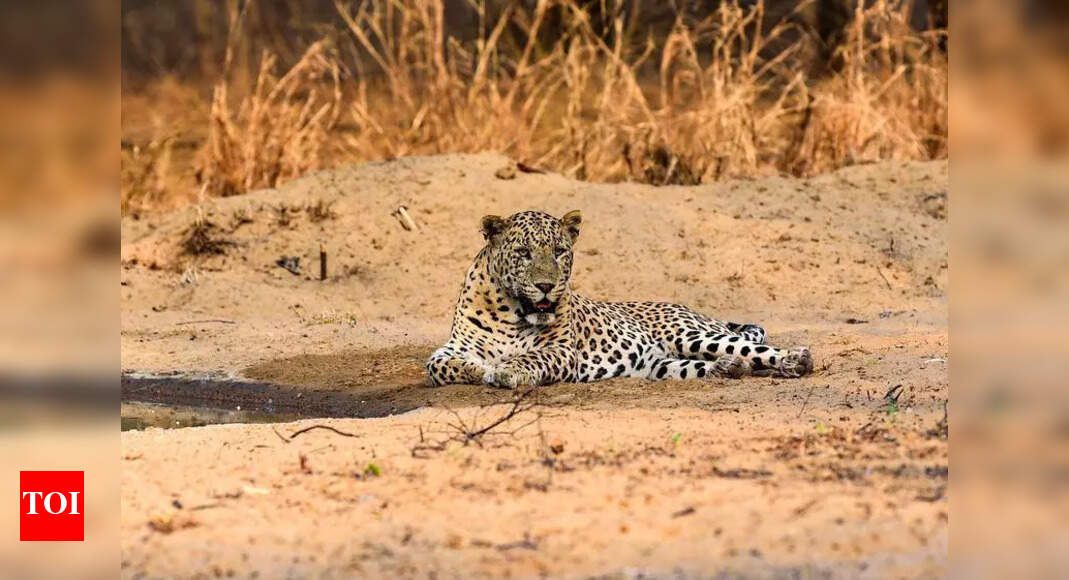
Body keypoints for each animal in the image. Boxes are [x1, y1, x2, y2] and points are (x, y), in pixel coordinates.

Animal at [427, 210, 813, 388]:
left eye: (559, 251)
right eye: (523, 252)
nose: (546, 286)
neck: (512, 311)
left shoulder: (561, 350)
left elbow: (531, 356)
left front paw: (506, 370)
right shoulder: (451, 348)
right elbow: (441, 366)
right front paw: (481, 369)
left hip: (690, 334)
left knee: (757, 349)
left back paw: (795, 360)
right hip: (660, 364)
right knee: (703, 364)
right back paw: (726, 369)